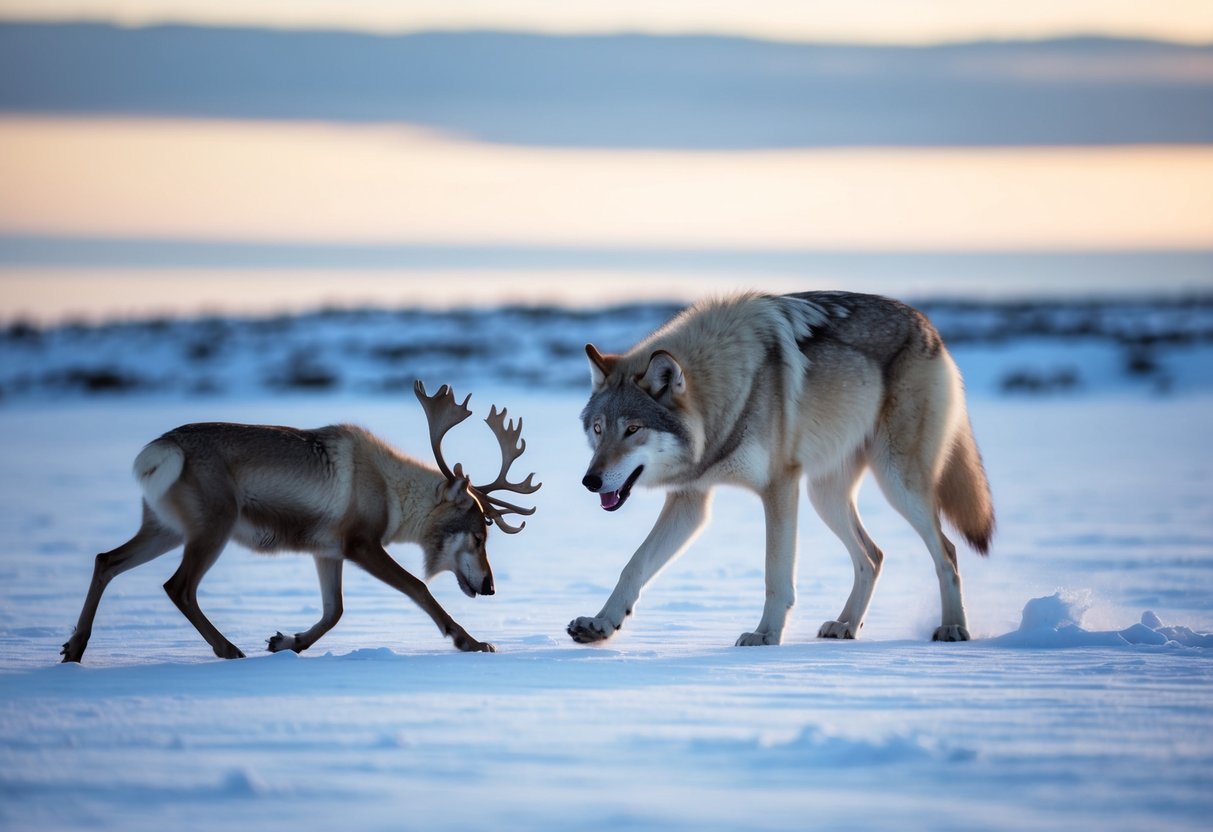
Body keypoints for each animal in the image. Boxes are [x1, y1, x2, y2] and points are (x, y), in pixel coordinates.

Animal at [568, 291, 993, 646]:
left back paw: (954, 627)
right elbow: (634, 564)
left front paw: (766, 635)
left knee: (947, 553)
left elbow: (776, 575)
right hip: (825, 497)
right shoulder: (691, 501)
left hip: (898, 485)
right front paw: (601, 623)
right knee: (873, 556)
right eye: (598, 429)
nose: (590, 481)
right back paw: (845, 625)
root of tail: (928, 325)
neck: (730, 392)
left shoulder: (779, 487)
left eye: (633, 429)